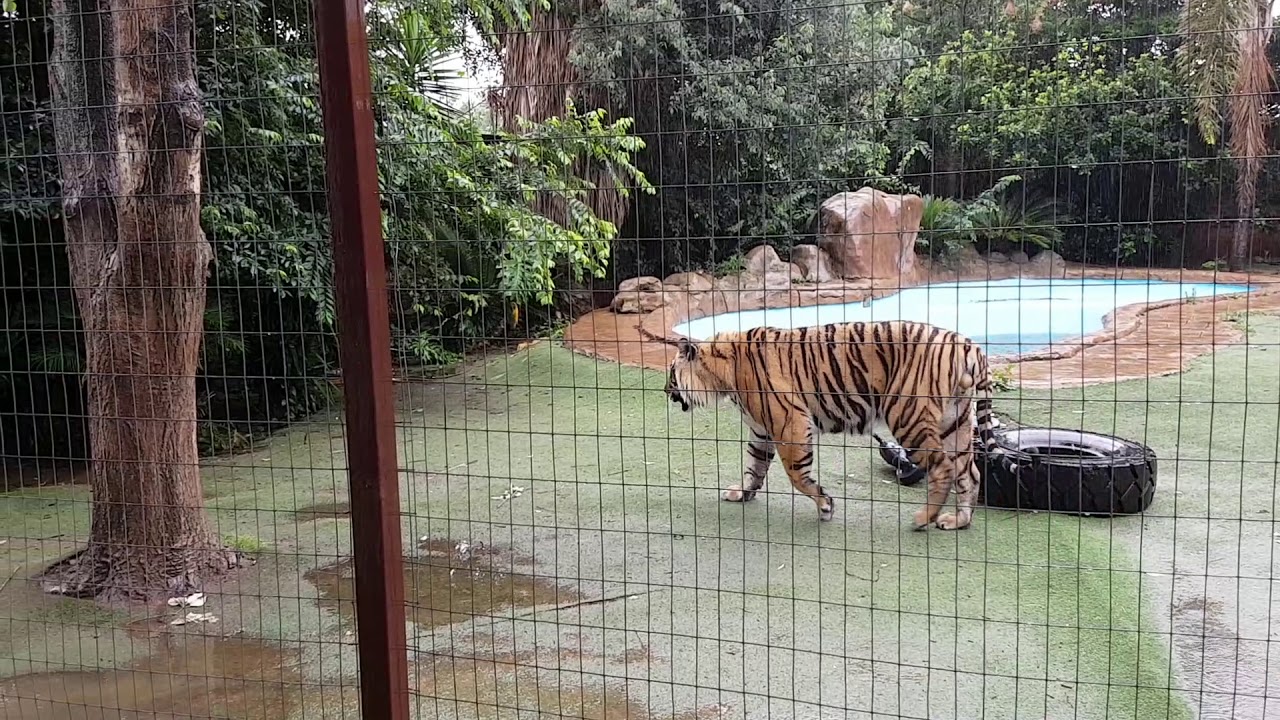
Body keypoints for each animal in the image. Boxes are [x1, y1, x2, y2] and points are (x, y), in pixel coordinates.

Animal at [645, 320, 1000, 530]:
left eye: (671, 373)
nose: (663, 391)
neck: (723, 374)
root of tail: (968, 344)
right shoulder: (761, 430)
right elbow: (753, 467)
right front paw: (742, 494)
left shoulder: (789, 423)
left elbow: (797, 475)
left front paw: (825, 505)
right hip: (954, 422)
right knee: (970, 473)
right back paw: (958, 520)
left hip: (907, 415)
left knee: (943, 468)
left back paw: (924, 519)